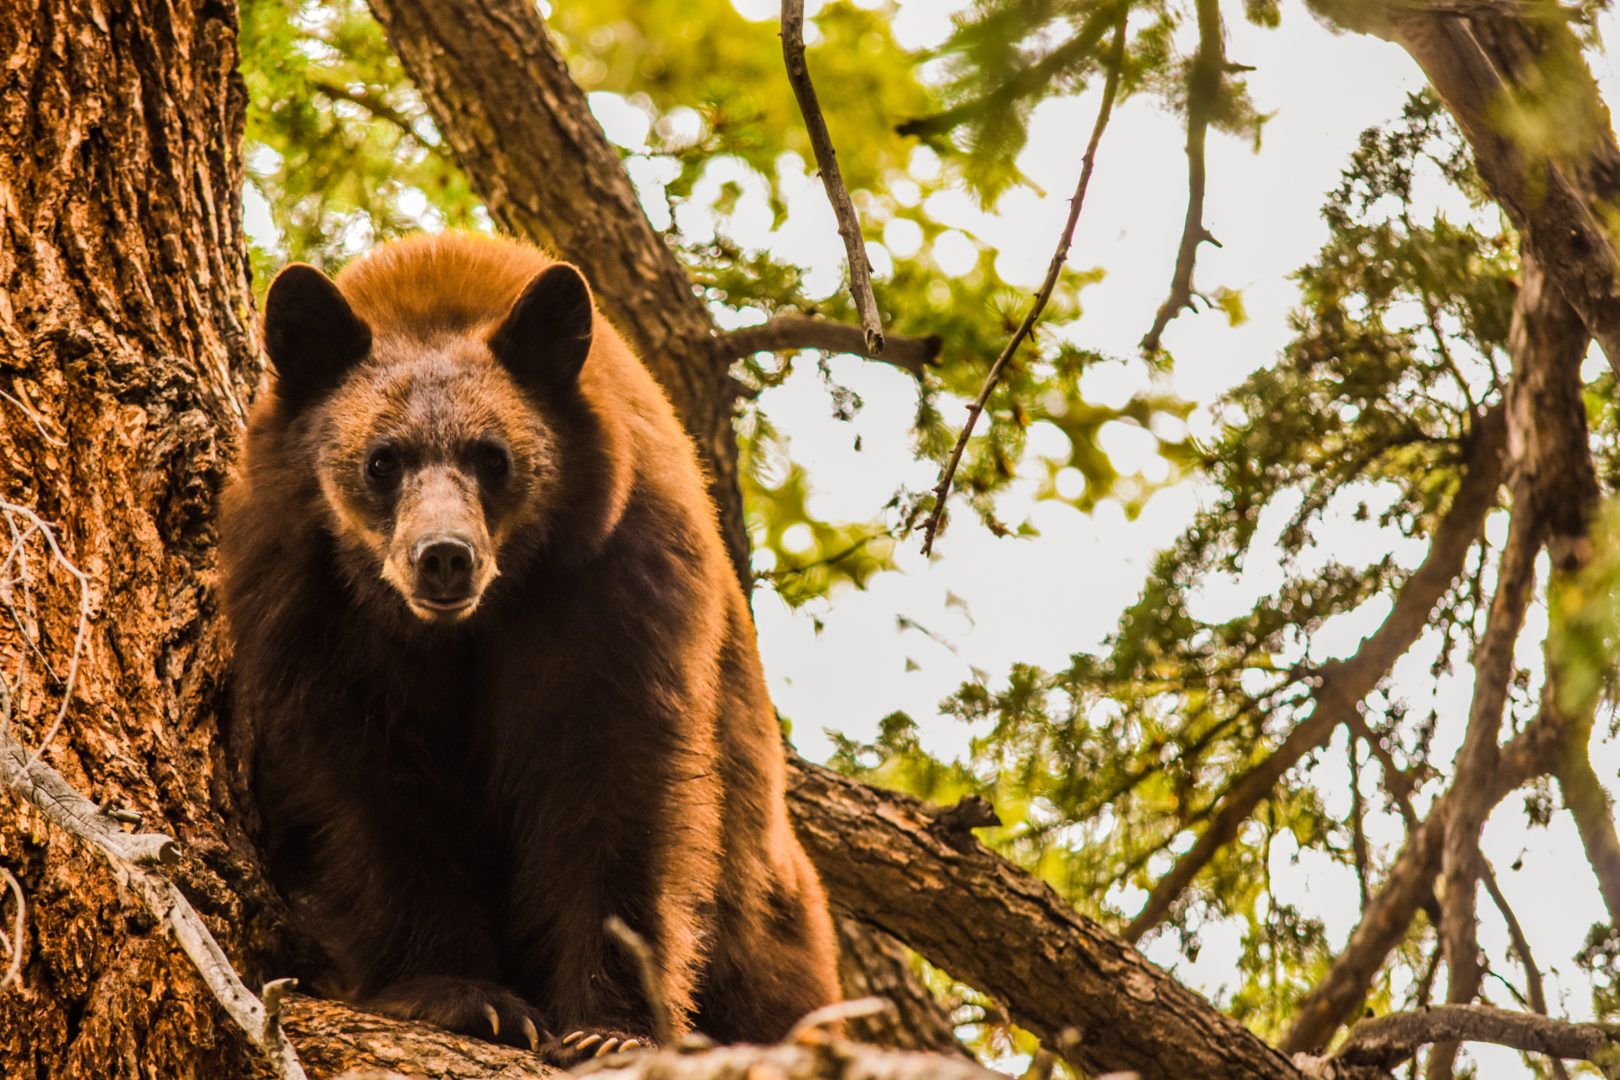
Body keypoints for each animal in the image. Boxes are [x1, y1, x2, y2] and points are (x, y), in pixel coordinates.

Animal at [219, 232, 841, 1060]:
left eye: (493, 457)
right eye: (382, 459)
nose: (444, 558)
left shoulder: (609, 591)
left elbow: (611, 788)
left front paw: (609, 1027)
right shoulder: (319, 615)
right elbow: (374, 794)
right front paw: (463, 995)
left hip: (766, 903)